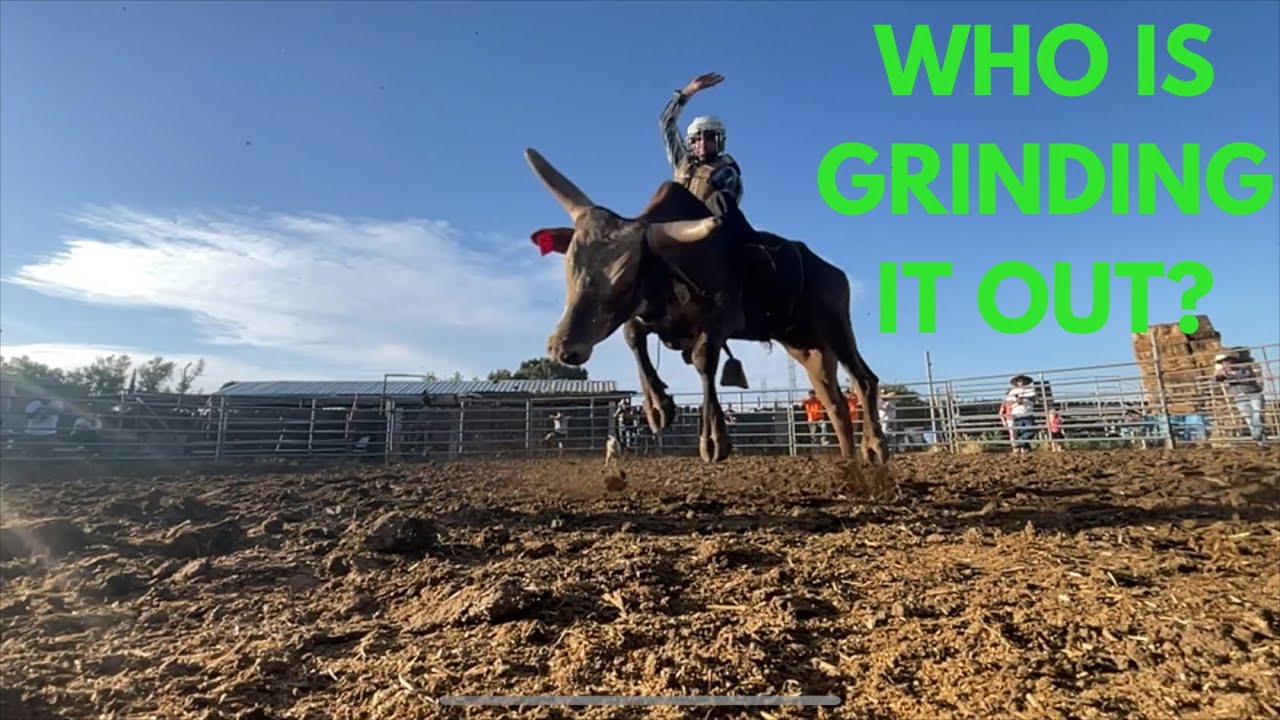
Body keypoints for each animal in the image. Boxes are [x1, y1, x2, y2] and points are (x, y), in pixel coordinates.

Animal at [523, 147, 888, 466]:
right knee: (834, 400)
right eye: (570, 269)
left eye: (624, 280)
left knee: (864, 380)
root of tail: (834, 272)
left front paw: (713, 439)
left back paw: (875, 447)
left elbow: (703, 362)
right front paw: (658, 408)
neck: (673, 264)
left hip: (836, 328)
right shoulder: (654, 317)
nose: (562, 347)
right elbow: (633, 335)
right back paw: (849, 460)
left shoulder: (721, 321)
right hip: (807, 347)